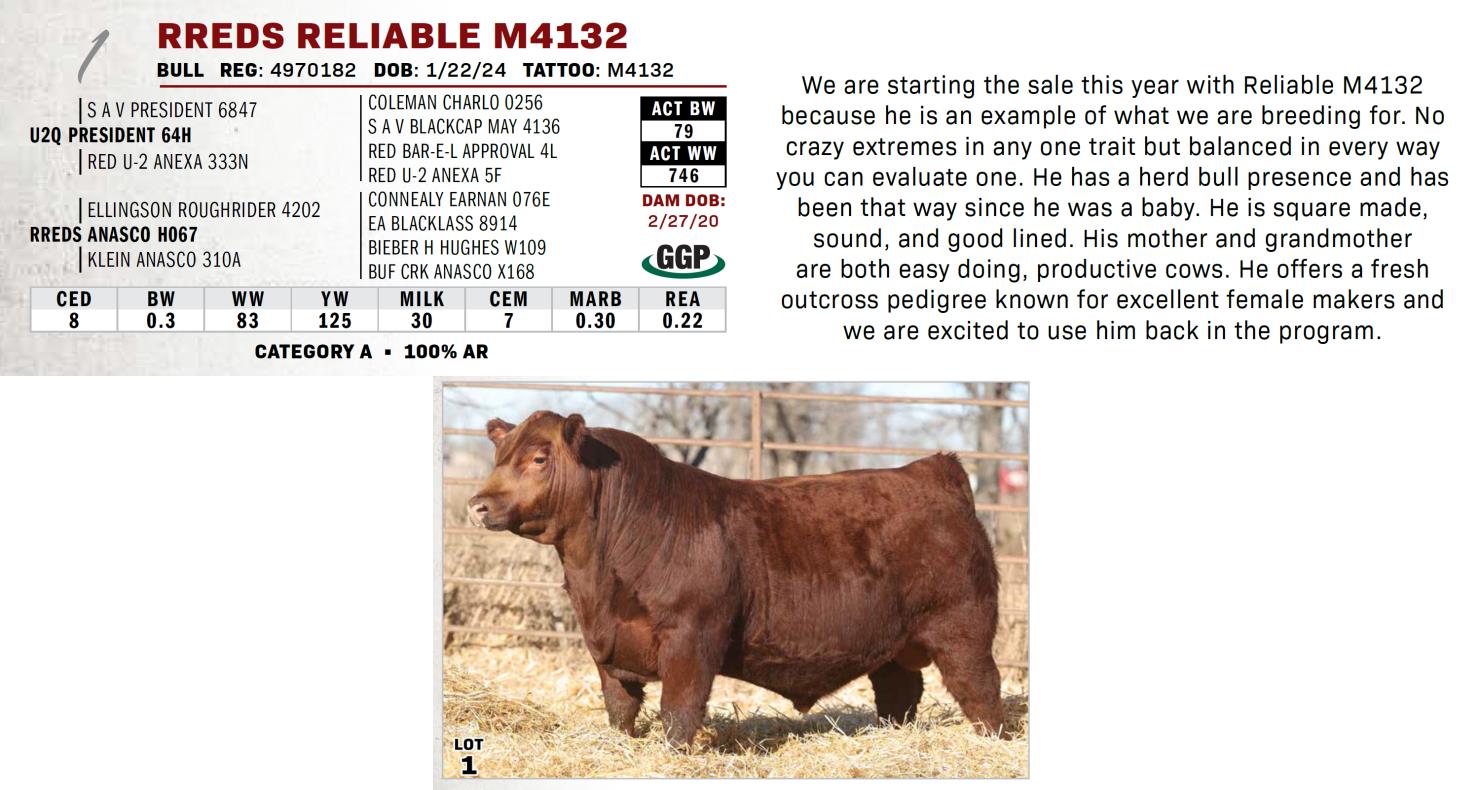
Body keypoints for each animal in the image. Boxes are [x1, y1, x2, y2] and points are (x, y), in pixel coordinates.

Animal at [466, 410, 1006, 747]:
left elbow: (679, 710)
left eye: (539, 458)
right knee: (899, 695)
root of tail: (931, 470)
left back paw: (991, 739)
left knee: (981, 689)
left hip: (963, 629)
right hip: (893, 645)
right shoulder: (608, 647)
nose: (478, 504)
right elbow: (619, 709)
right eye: (499, 457)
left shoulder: (691, 637)